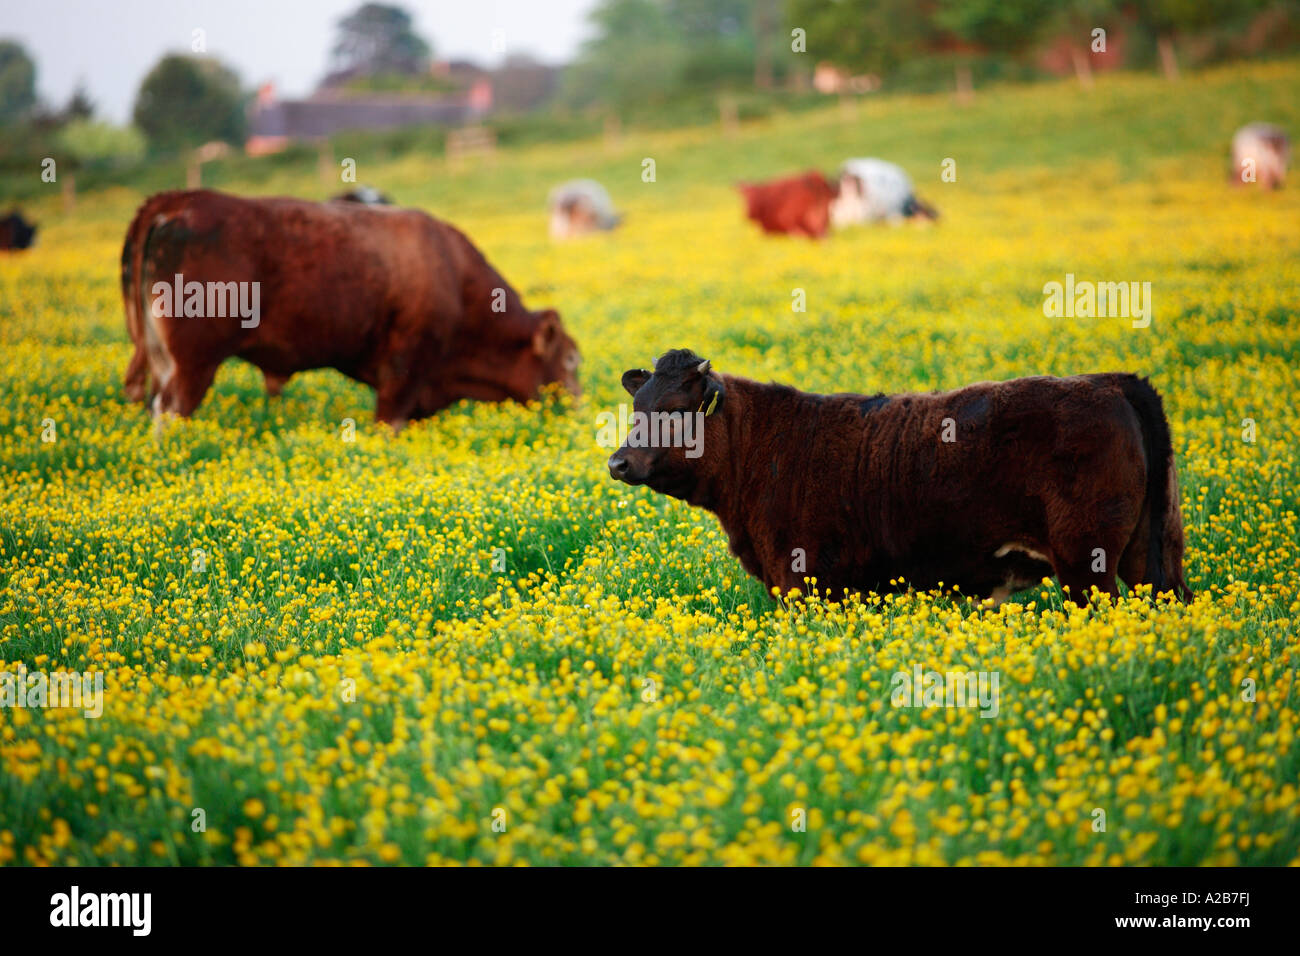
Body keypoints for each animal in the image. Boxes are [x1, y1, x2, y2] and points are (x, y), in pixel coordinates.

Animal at [120, 190, 580, 425]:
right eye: (571, 361)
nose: (578, 408)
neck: (453, 273)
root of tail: (178, 200)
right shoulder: (402, 377)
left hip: (161, 361)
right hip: (192, 366)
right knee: (170, 413)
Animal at [607, 349, 1191, 607]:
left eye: (675, 410)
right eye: (637, 406)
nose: (619, 463)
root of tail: (1111, 381)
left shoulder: (806, 581)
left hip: (1088, 564)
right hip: (1150, 555)